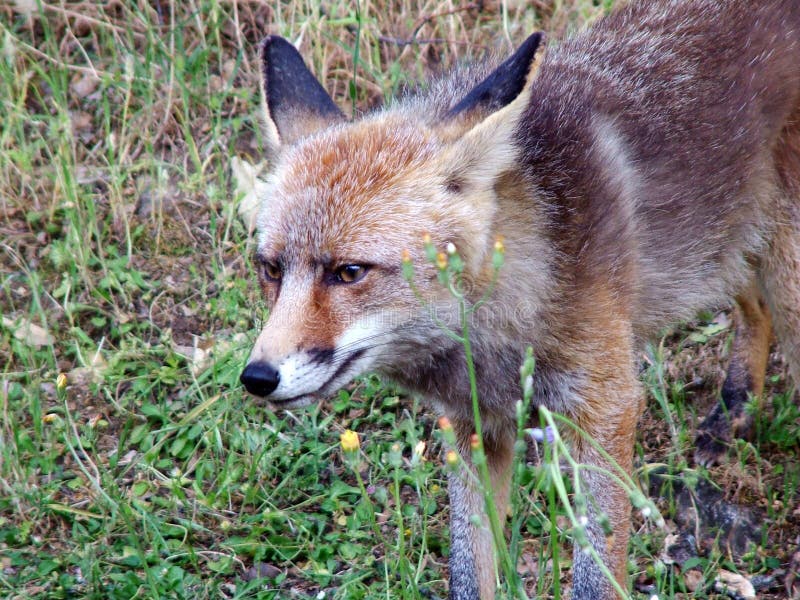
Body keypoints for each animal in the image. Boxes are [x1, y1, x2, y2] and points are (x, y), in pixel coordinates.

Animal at [239, 0, 800, 598]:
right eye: (271, 269)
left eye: (349, 272)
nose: (257, 377)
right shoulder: (474, 425)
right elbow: (469, 567)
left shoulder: (606, 407)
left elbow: (596, 572)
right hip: (729, 247)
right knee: (753, 309)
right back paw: (736, 409)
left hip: (781, 274)